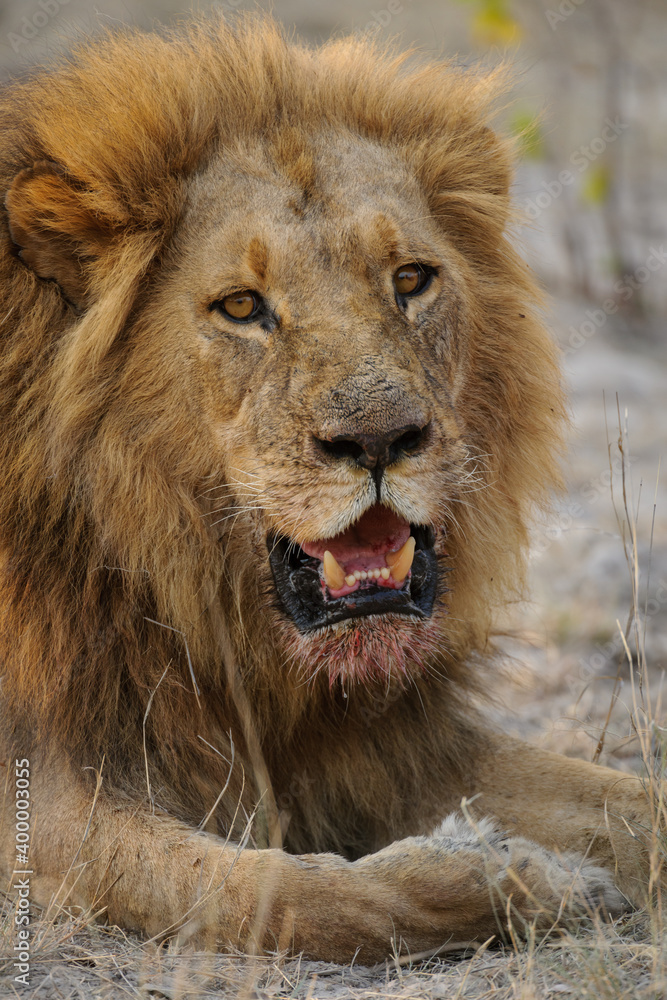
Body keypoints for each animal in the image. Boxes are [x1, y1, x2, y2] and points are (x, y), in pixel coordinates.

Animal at [0, 14, 658, 963]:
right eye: (241, 307)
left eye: (410, 279)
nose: (379, 439)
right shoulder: (48, 790)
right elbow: (285, 895)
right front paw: (522, 883)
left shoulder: (379, 743)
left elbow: (631, 802)